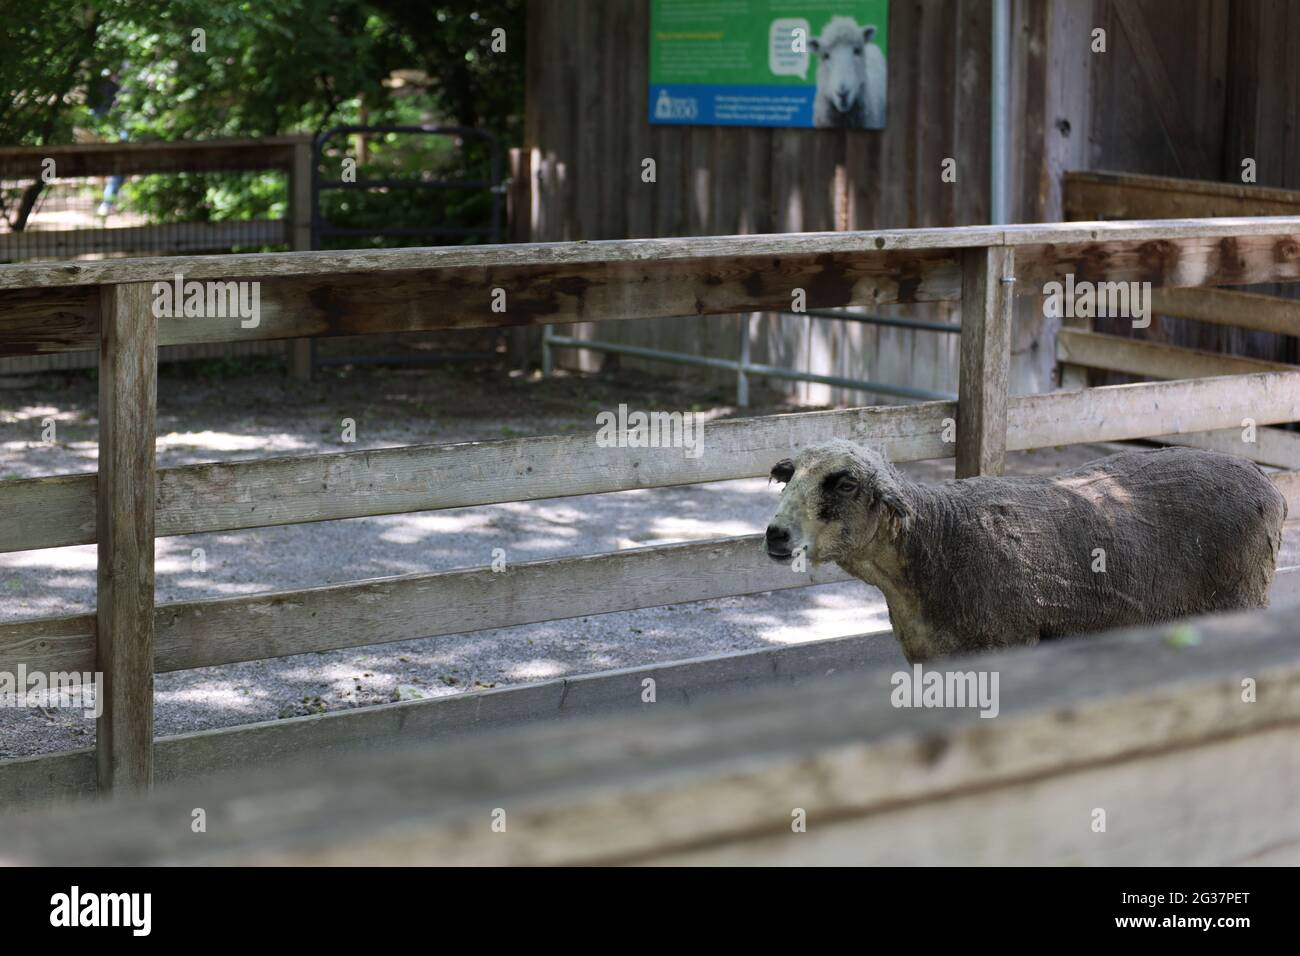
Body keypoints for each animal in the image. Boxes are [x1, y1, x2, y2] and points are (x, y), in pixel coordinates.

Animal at [764, 440, 1287, 662]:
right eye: (788, 476)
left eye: (845, 483)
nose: (774, 535)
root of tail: (1268, 484)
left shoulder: (1005, 644)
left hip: (1242, 599)